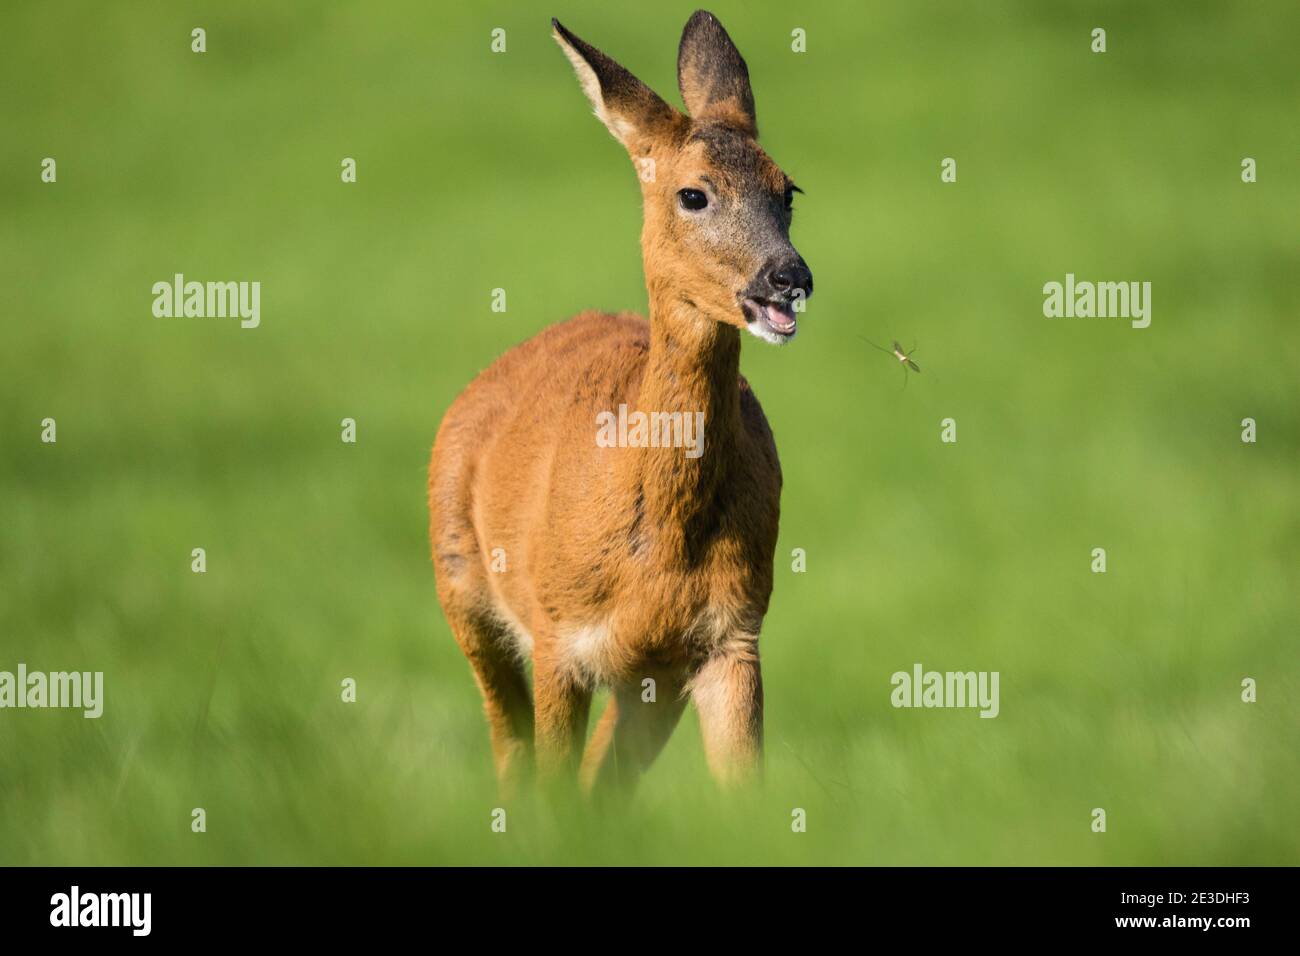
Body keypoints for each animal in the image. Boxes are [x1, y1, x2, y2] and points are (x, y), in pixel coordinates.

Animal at [428, 10, 813, 796]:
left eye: (787, 190)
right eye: (693, 194)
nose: (788, 277)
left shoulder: (732, 634)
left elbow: (743, 791)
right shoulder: (558, 635)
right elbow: (551, 789)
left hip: (650, 682)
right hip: (460, 582)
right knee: (512, 753)